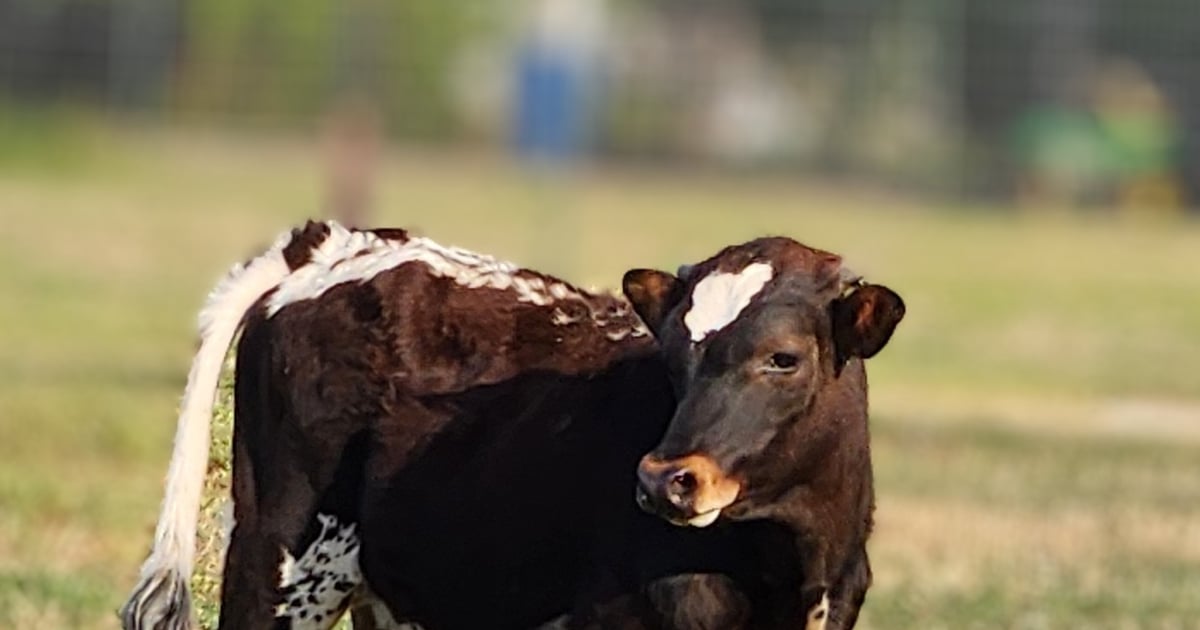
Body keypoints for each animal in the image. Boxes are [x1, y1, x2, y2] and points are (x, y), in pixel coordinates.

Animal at [120, 220, 902, 630]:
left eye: (783, 357)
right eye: (675, 353)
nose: (664, 482)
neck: (791, 561)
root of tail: (343, 245)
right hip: (279, 558)